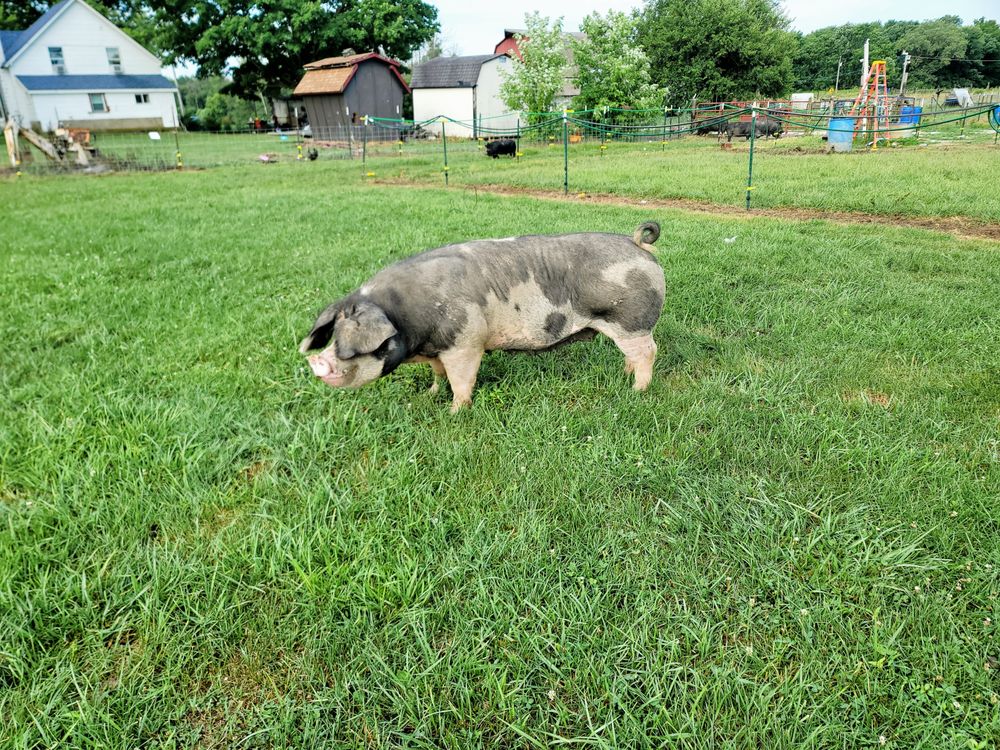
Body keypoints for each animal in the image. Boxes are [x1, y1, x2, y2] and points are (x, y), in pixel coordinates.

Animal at [300, 222, 666, 412]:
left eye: (353, 346)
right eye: (333, 337)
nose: (317, 361)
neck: (407, 318)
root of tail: (638, 244)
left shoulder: (465, 342)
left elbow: (462, 380)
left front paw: (455, 411)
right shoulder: (438, 348)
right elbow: (438, 374)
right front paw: (430, 394)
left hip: (630, 320)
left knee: (649, 352)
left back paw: (638, 391)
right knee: (632, 355)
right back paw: (625, 376)